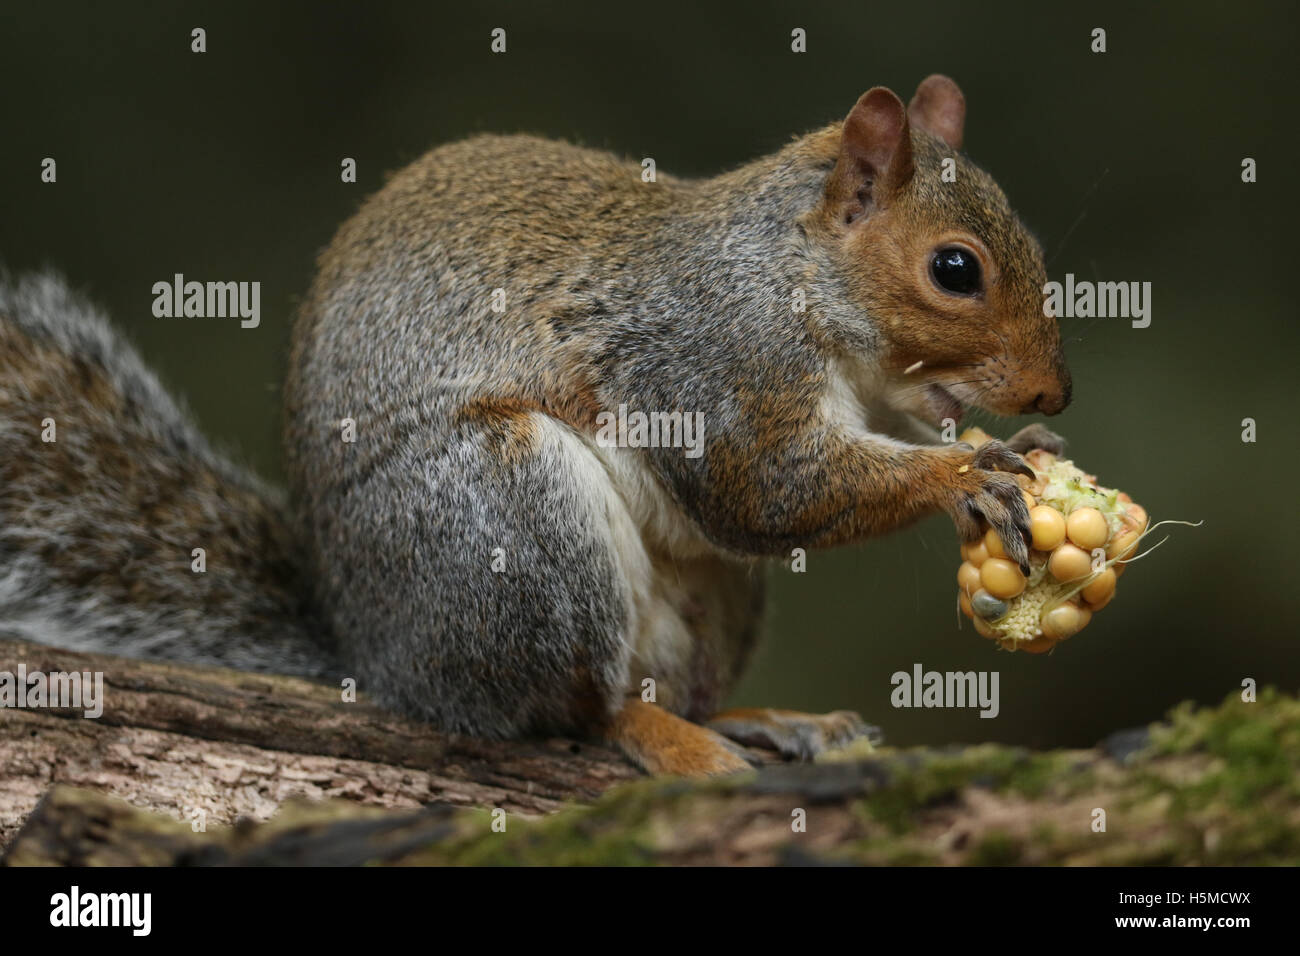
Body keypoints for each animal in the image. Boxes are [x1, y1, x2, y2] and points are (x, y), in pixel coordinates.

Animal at [1, 75, 1069, 775]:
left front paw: (1021, 454)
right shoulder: (712, 358)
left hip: (714, 598)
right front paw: (966, 477)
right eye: (955, 269)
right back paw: (673, 742)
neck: (796, 275)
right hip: (510, 514)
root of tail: (379, 655)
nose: (1055, 395)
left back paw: (760, 720)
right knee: (576, 712)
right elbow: (768, 486)